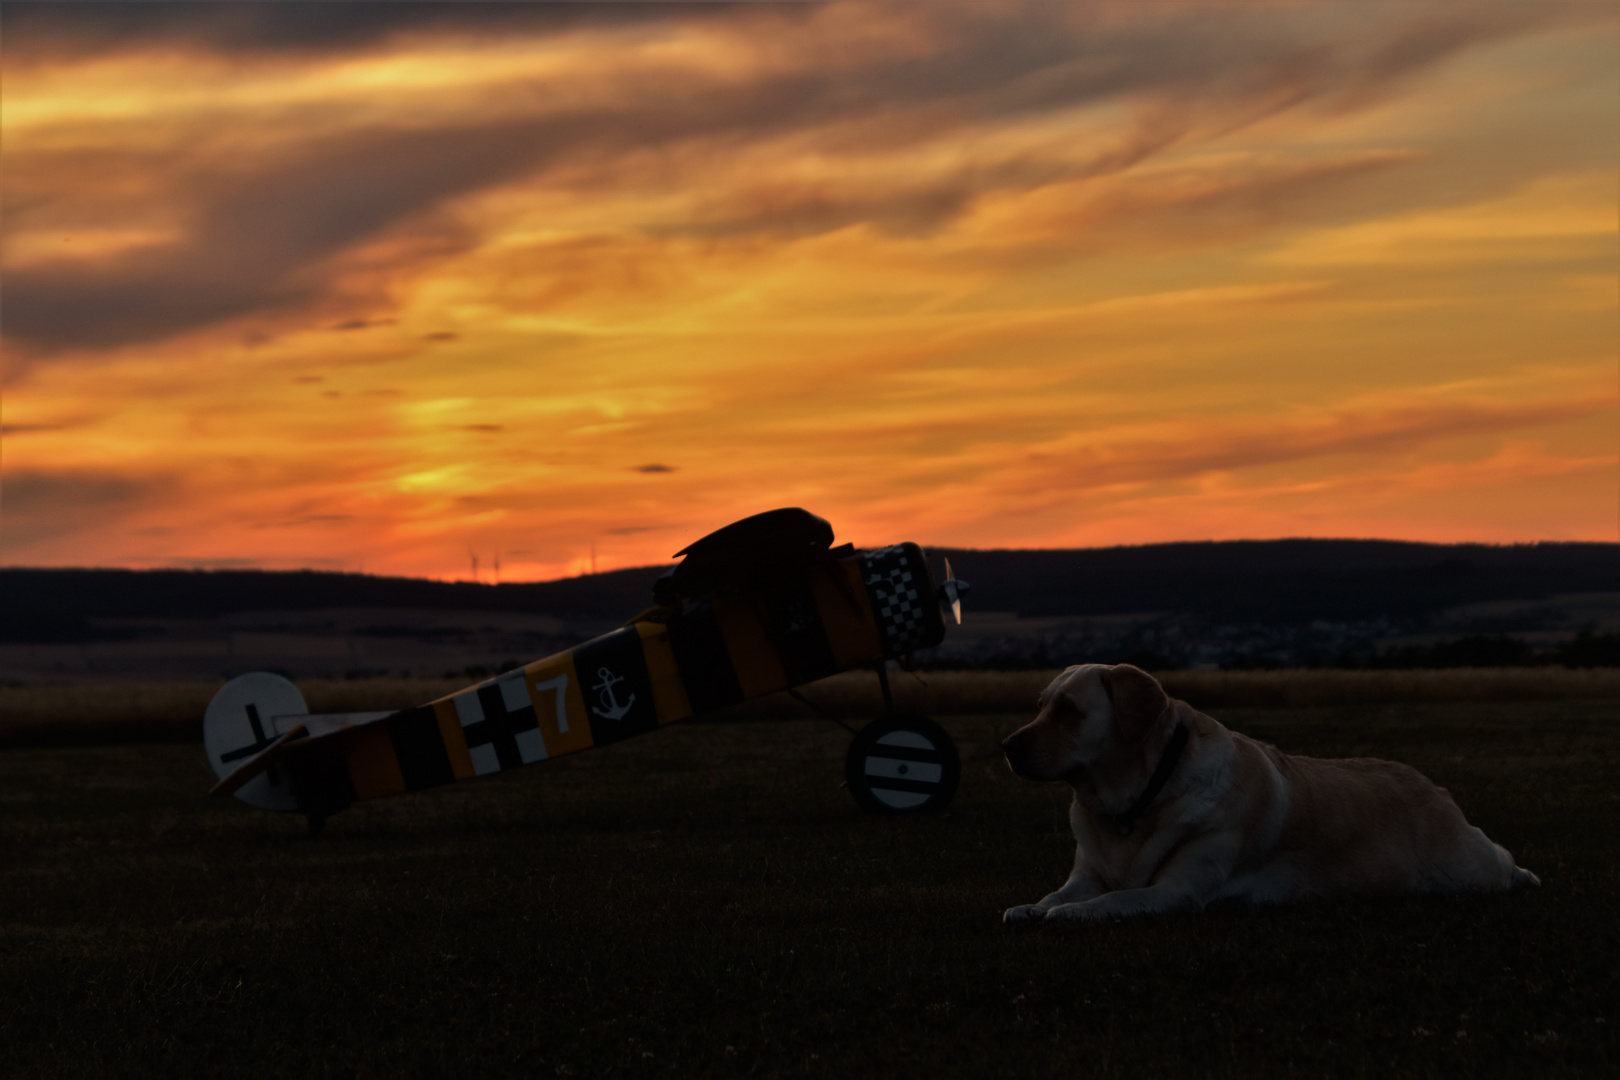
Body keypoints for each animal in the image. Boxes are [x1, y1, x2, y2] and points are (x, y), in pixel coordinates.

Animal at [997, 663, 1529, 926]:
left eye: (1069, 711)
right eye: (1041, 705)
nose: (1005, 747)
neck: (1136, 801)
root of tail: (1431, 784)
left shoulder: (1177, 889)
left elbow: (1110, 901)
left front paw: (1066, 915)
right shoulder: (1087, 873)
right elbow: (1057, 893)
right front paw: (1031, 908)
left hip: (1468, 868)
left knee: (1502, 857)